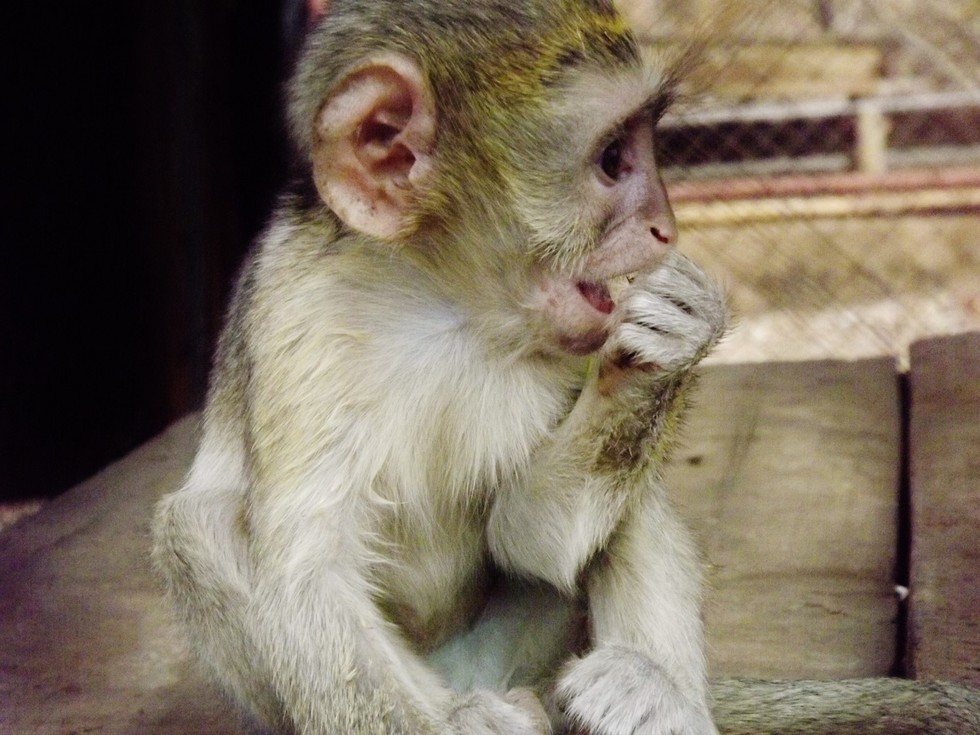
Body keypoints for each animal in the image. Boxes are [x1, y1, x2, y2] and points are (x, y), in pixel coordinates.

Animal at [151, 1, 980, 734]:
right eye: (614, 160)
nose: (664, 226)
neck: (446, 302)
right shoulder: (290, 308)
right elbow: (305, 570)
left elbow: (530, 536)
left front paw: (665, 353)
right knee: (196, 525)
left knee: (628, 507)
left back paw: (659, 700)